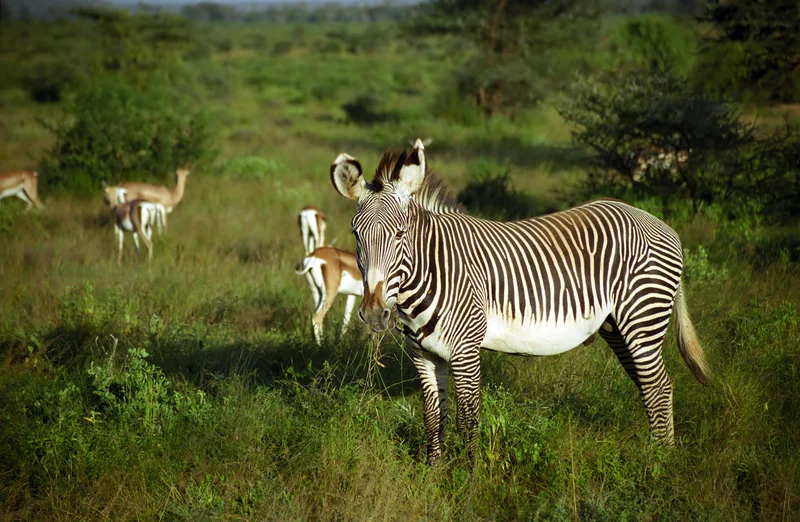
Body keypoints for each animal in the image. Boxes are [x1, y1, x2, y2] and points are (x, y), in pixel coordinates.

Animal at [330, 139, 711, 465]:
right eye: (356, 234)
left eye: (400, 234)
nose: (375, 314)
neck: (431, 271)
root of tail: (658, 222)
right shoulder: (423, 354)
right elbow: (433, 415)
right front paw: (434, 473)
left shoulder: (466, 350)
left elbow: (468, 417)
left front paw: (469, 480)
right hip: (618, 326)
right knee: (651, 385)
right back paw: (658, 453)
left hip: (642, 318)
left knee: (659, 387)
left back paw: (660, 462)